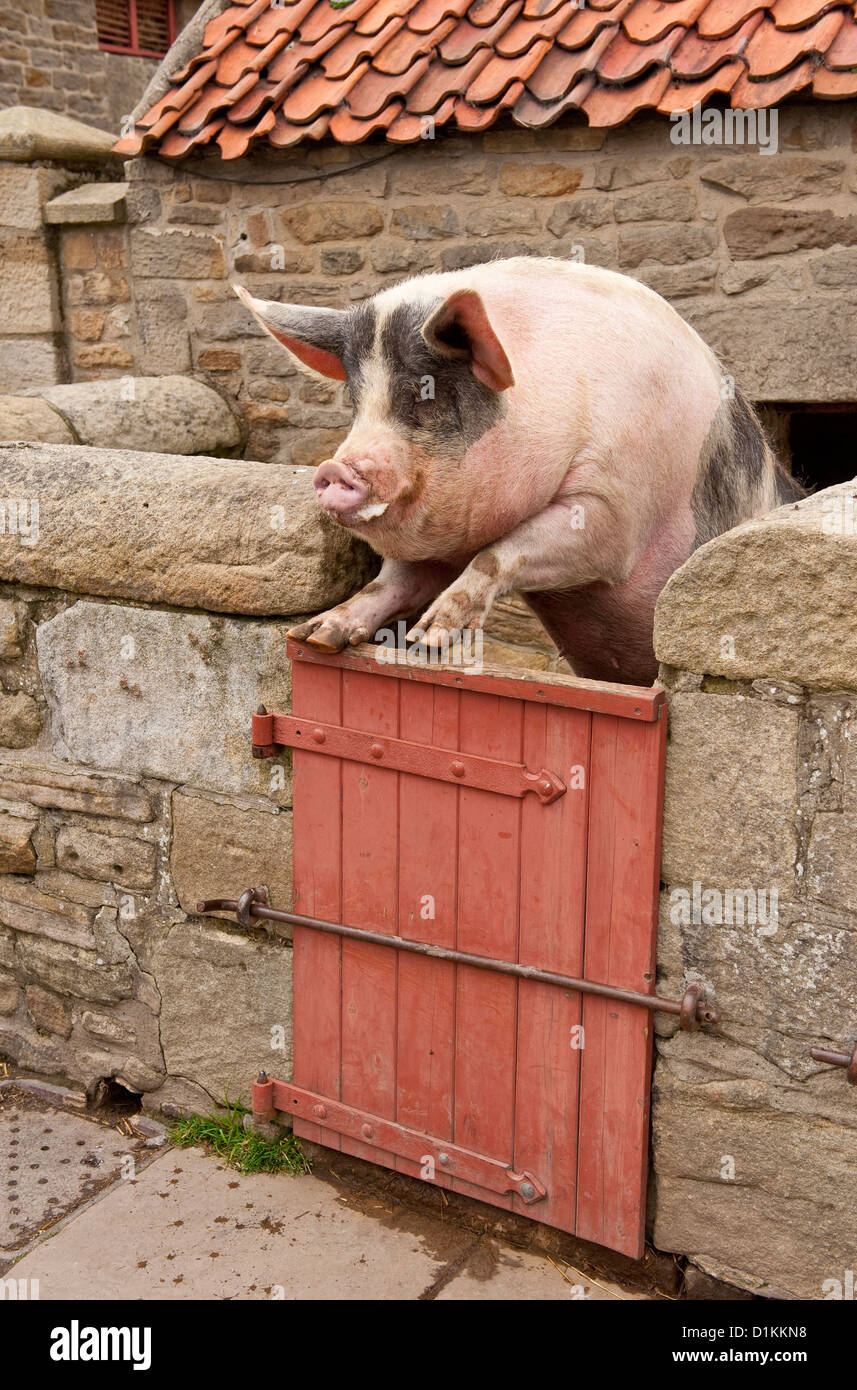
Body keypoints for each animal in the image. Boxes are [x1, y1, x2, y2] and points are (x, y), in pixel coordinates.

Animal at [234, 258, 800, 686]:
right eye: (355, 402)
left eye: (425, 393)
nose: (334, 469)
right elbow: (392, 581)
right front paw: (314, 635)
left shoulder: (615, 516)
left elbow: (500, 553)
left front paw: (428, 639)